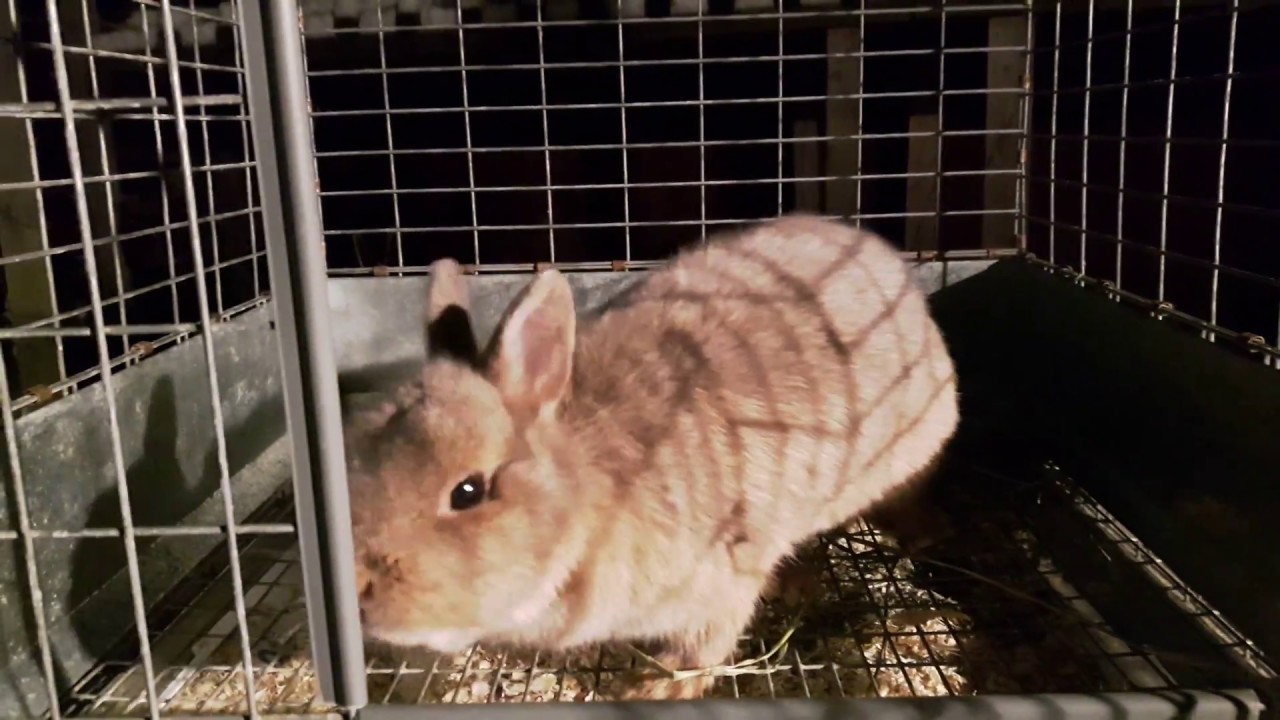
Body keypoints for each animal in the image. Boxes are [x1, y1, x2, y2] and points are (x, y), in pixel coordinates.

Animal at [346, 214, 960, 700]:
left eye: (468, 491)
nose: (355, 587)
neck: (587, 496)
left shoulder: (720, 582)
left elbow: (705, 645)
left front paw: (653, 686)